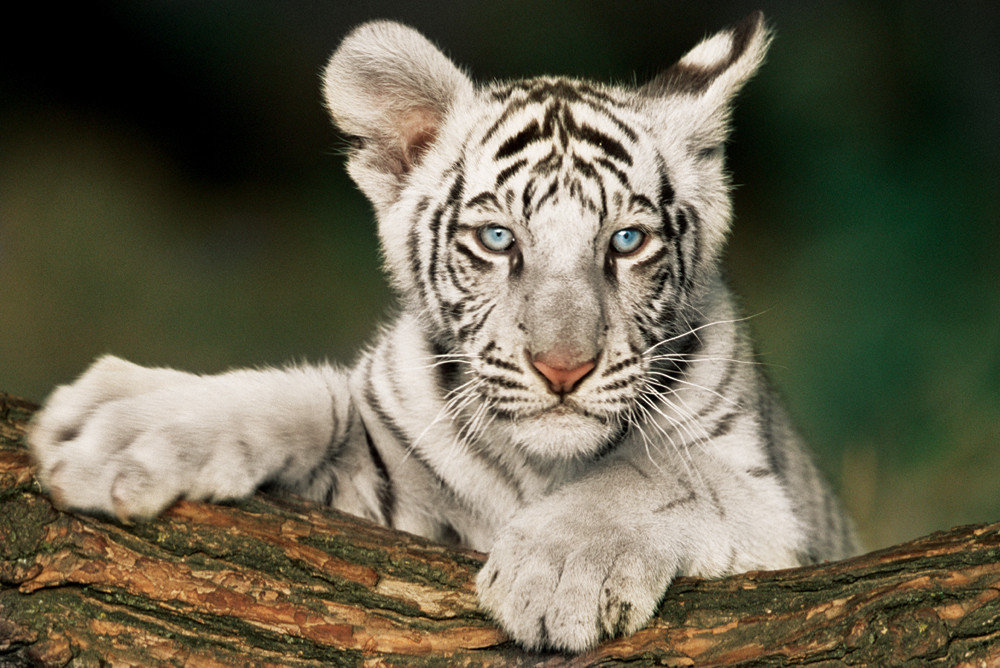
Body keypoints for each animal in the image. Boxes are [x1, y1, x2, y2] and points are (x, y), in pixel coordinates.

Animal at [28, 11, 858, 652]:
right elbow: (304, 400)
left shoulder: (767, 501)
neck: (543, 467)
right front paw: (123, 430)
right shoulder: (390, 494)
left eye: (626, 241)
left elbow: (657, 473)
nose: (564, 369)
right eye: (496, 240)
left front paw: (556, 574)